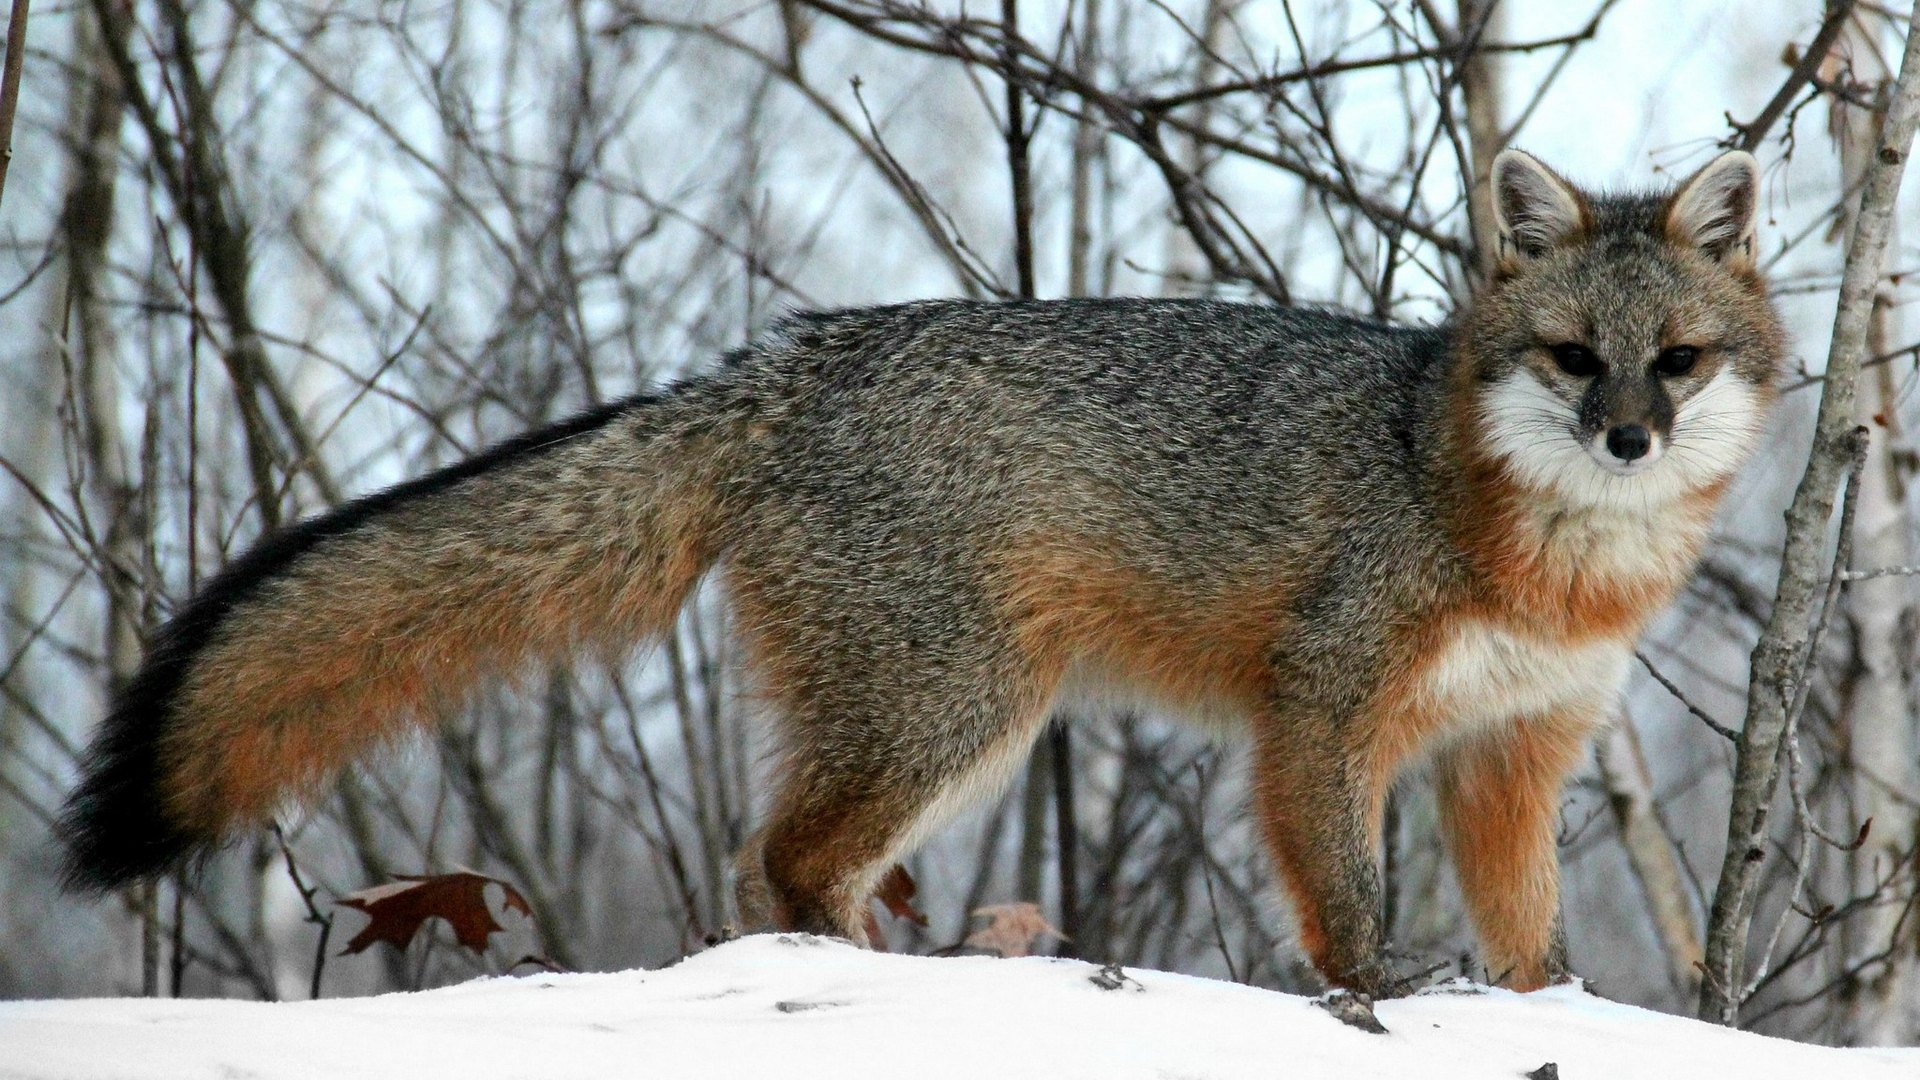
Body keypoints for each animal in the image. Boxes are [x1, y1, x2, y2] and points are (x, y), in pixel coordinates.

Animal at [59, 149, 1781, 997]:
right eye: (1575, 360)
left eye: (1677, 363)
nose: (1628, 438)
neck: (1541, 558)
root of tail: (795, 358)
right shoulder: (1322, 712)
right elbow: (1349, 907)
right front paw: (1380, 1005)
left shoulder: (1517, 751)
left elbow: (1535, 949)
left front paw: (1540, 1018)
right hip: (958, 716)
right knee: (786, 860)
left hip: (947, 725)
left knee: (767, 864)